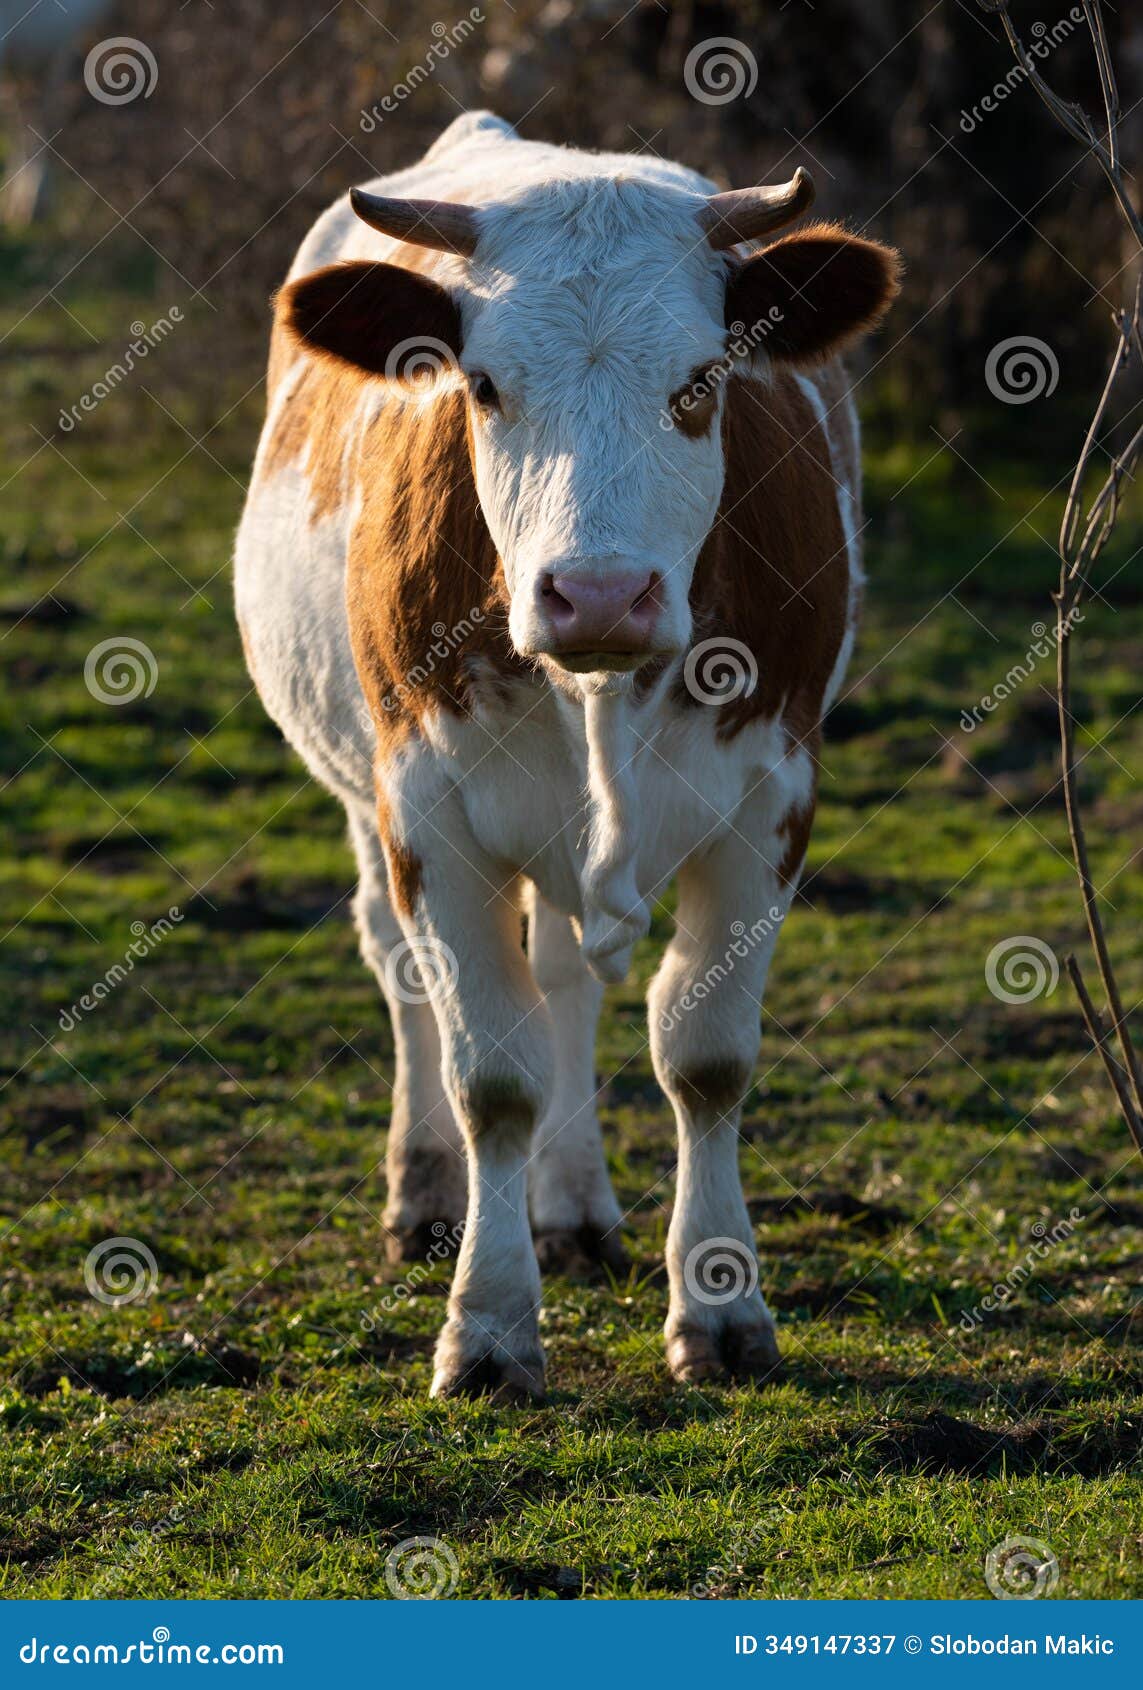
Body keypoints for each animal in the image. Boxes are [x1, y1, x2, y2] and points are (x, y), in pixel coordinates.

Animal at [234, 111, 899, 1403]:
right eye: (485, 386)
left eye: (701, 383)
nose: (595, 593)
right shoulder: (426, 809)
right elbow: (492, 1075)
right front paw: (489, 1325)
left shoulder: (773, 798)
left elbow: (703, 1056)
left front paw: (721, 1309)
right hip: (365, 791)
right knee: (404, 972)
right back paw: (425, 1197)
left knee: (569, 982)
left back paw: (576, 1207)